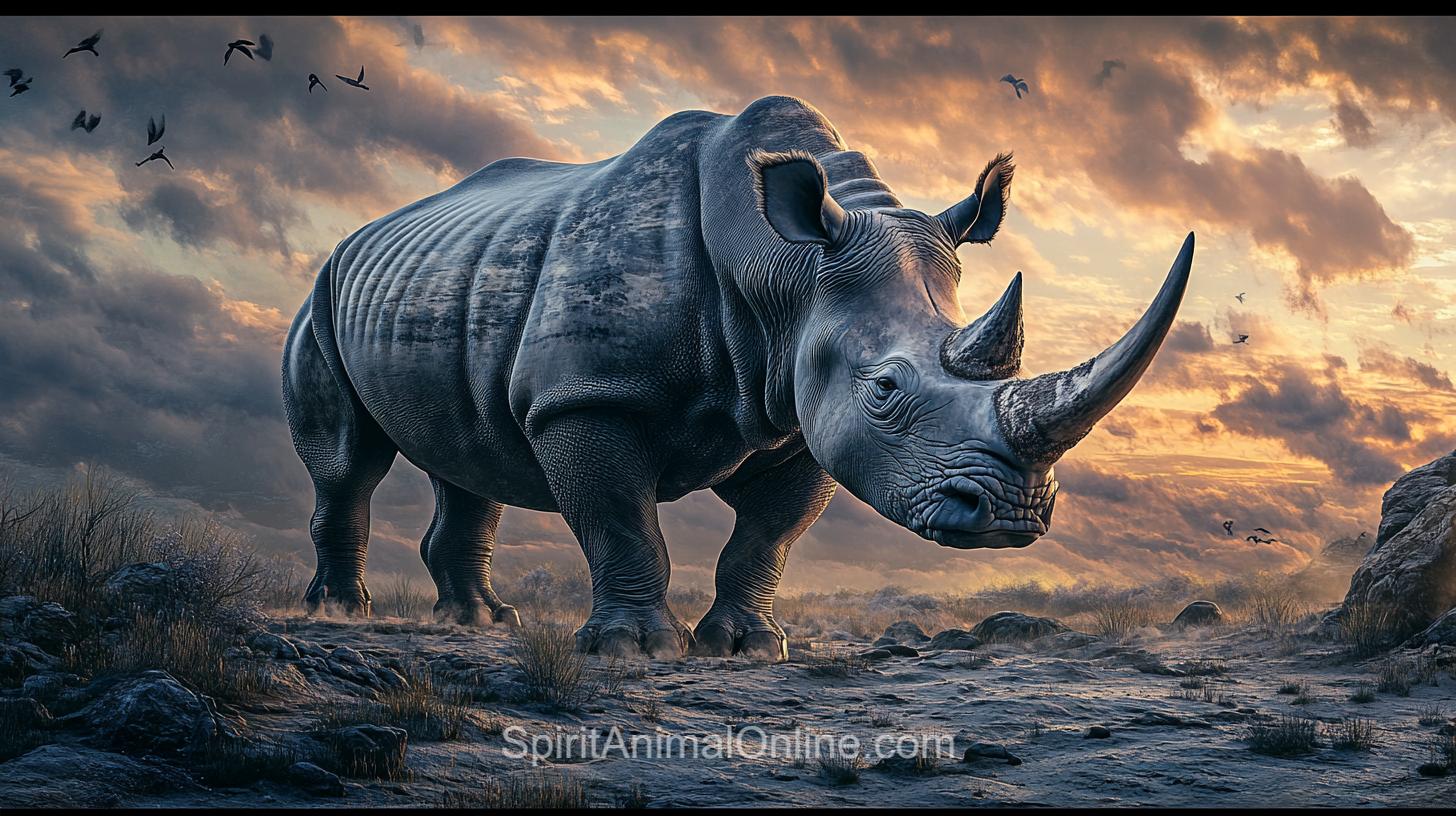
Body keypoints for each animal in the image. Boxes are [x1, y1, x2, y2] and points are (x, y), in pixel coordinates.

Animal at [282, 95, 1192, 660]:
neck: (785, 268)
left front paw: (748, 649)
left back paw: (480, 622)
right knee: (348, 464)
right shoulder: (585, 398)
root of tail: (354, 238)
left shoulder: (802, 411)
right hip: (322, 294)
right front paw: (632, 651)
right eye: (885, 390)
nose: (1012, 515)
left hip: (441, 276)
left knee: (468, 463)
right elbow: (622, 522)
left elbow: (767, 536)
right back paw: (339, 611)